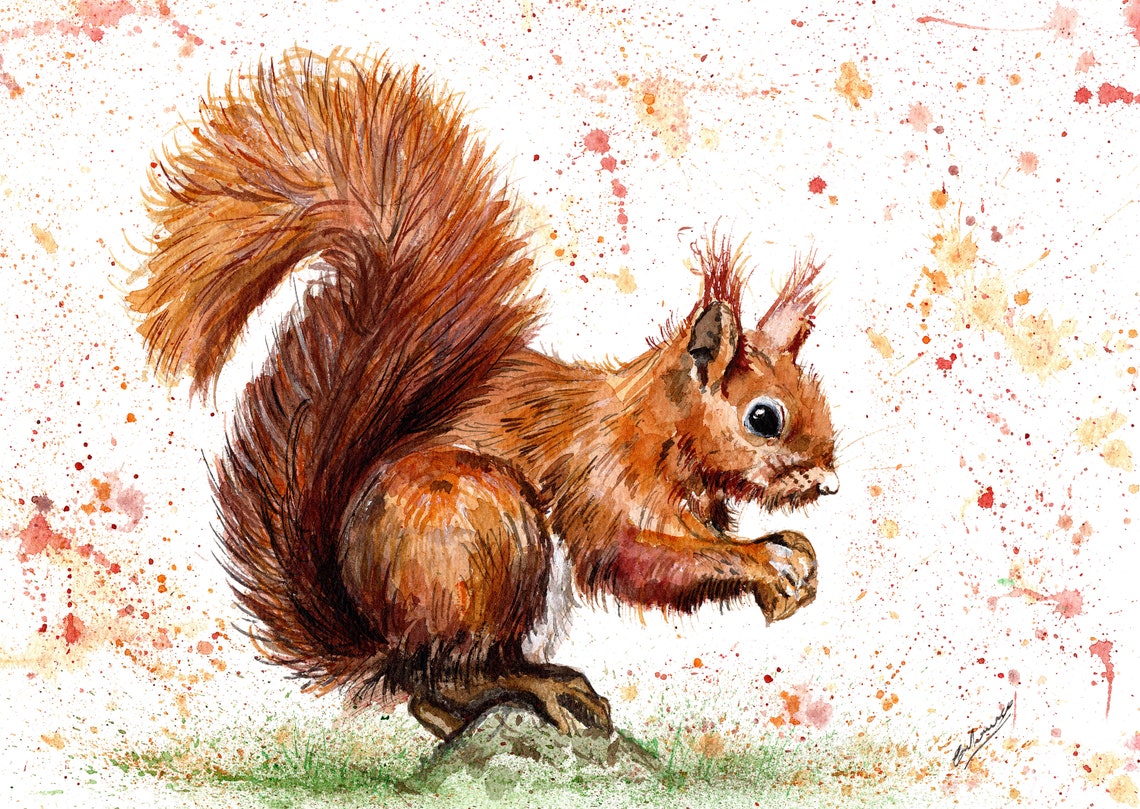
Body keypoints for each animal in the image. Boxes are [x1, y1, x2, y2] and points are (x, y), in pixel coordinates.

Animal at [127, 49, 837, 741]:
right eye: (763, 418)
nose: (828, 485)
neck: (657, 427)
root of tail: (378, 636)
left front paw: (794, 552)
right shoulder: (602, 478)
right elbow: (643, 557)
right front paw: (760, 560)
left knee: (433, 698)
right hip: (485, 533)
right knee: (448, 677)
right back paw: (539, 687)